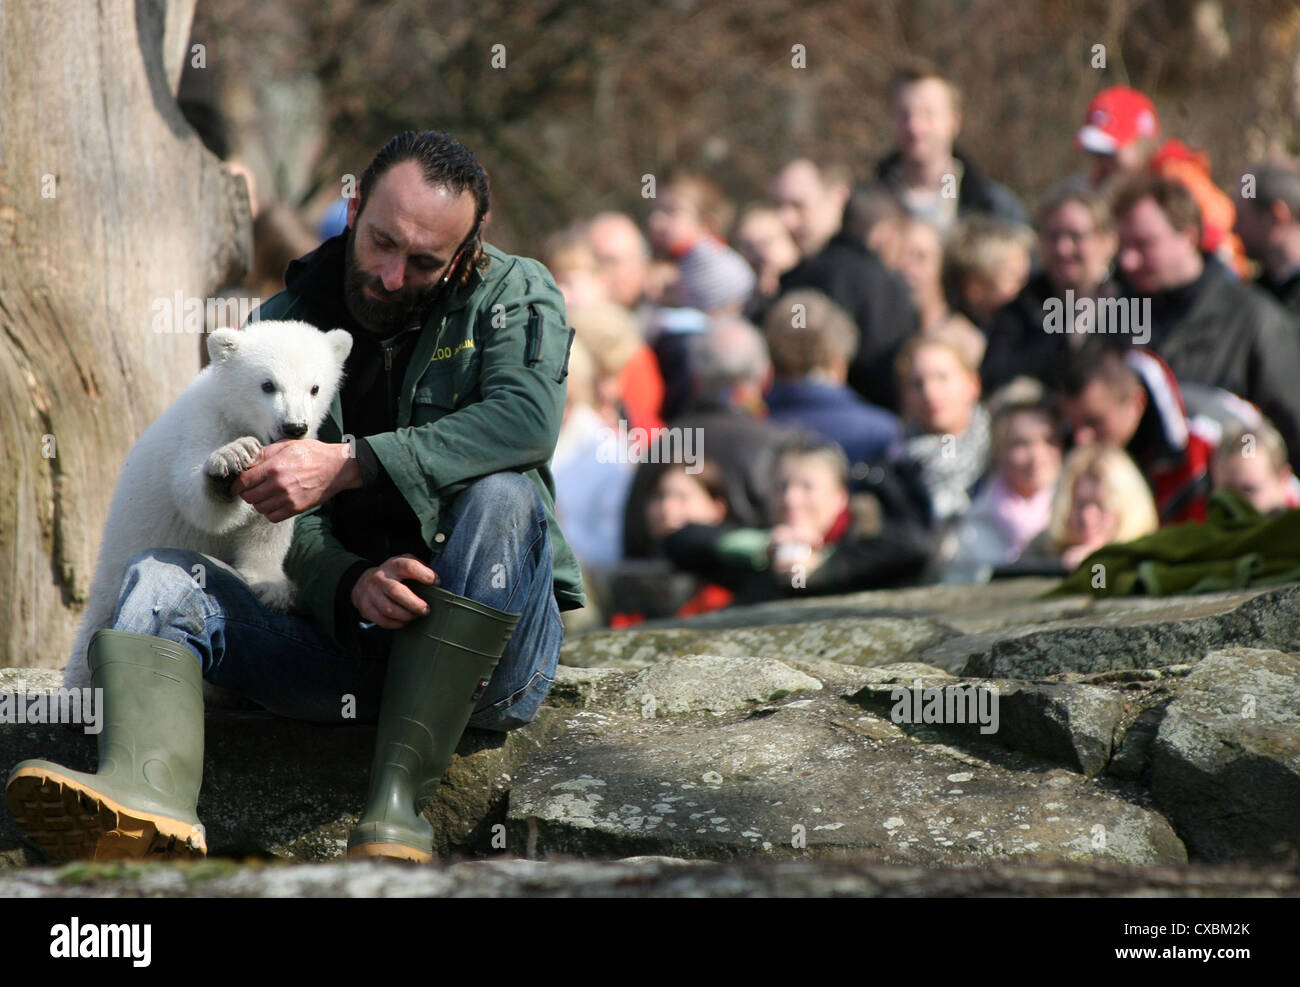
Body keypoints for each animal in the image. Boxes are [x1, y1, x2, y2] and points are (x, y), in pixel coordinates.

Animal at [62, 319, 353, 691]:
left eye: (314, 388)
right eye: (267, 385)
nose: (294, 427)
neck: (236, 413)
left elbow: (270, 524)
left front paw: (273, 587)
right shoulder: (206, 426)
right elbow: (198, 500)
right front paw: (231, 463)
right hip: (111, 581)